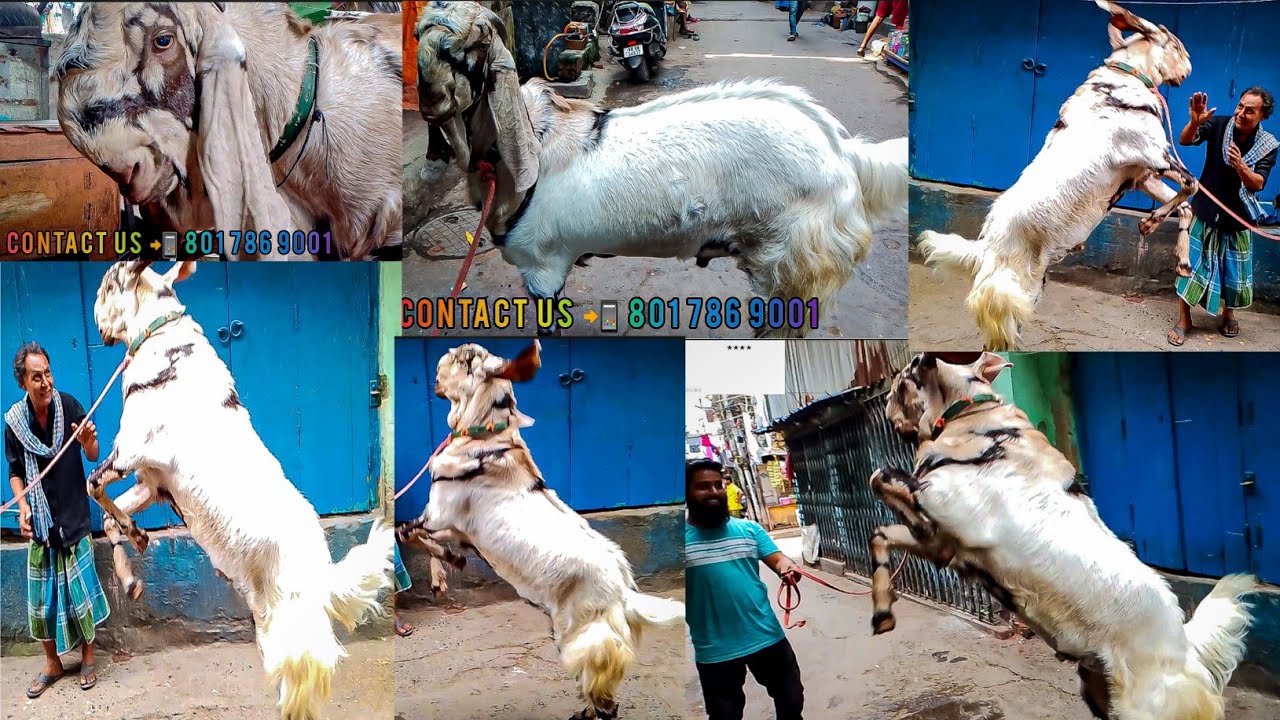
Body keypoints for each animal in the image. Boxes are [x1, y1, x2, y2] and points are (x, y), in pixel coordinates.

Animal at [88, 260, 394, 720]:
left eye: (110, 282)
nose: (94, 314)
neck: (164, 342)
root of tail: (323, 570)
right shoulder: (153, 483)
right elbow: (110, 518)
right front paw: (133, 562)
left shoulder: (128, 452)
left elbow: (92, 486)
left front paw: (135, 541)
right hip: (267, 620)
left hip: (292, 629)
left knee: (303, 686)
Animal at [399, 340, 686, 719]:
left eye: (466, 358)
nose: (448, 351)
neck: (488, 435)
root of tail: (623, 593)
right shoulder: (454, 530)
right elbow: (429, 545)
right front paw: (441, 578)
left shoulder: (439, 515)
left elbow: (409, 534)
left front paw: (449, 564)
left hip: (580, 635)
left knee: (604, 697)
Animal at [414, 1, 908, 338]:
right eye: (421, 40)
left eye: (465, 52)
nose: (430, 102)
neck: (531, 145)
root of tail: (842, 150)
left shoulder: (541, 265)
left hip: (795, 262)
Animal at [871, 351, 1256, 720]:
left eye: (900, 383)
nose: (885, 402)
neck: (972, 417)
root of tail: (1188, 652)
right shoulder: (945, 546)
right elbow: (881, 531)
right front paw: (882, 612)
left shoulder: (946, 502)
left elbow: (879, 476)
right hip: (1098, 690)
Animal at [916, 0, 1198, 351]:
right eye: (1176, 44)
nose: (1190, 67)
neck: (1124, 80)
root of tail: (986, 248)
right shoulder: (1154, 155)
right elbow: (1192, 186)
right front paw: (1149, 223)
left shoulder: (1143, 175)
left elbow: (1186, 206)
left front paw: (1182, 260)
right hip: (1012, 295)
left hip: (1029, 289)